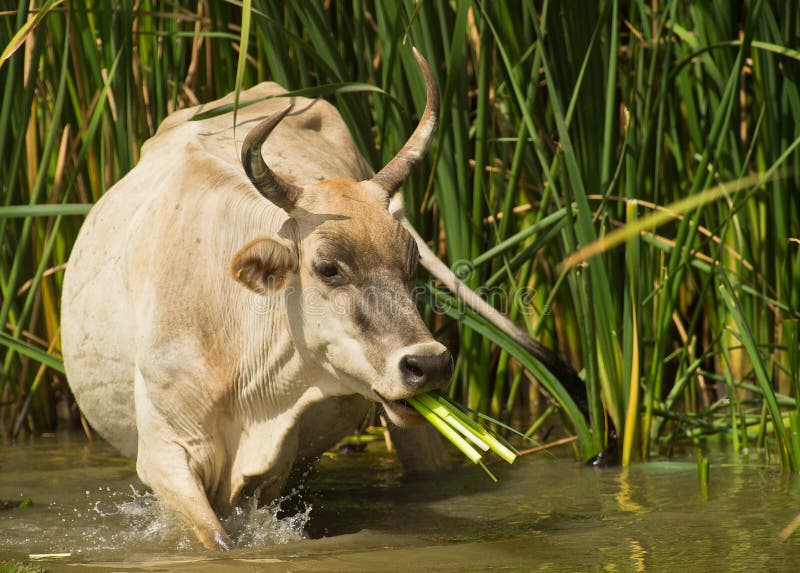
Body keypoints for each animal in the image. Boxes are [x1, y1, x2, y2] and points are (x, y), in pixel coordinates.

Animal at [61, 49, 453, 550]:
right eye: (328, 268)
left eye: (412, 259)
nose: (429, 363)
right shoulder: (165, 457)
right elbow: (217, 538)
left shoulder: (275, 461)